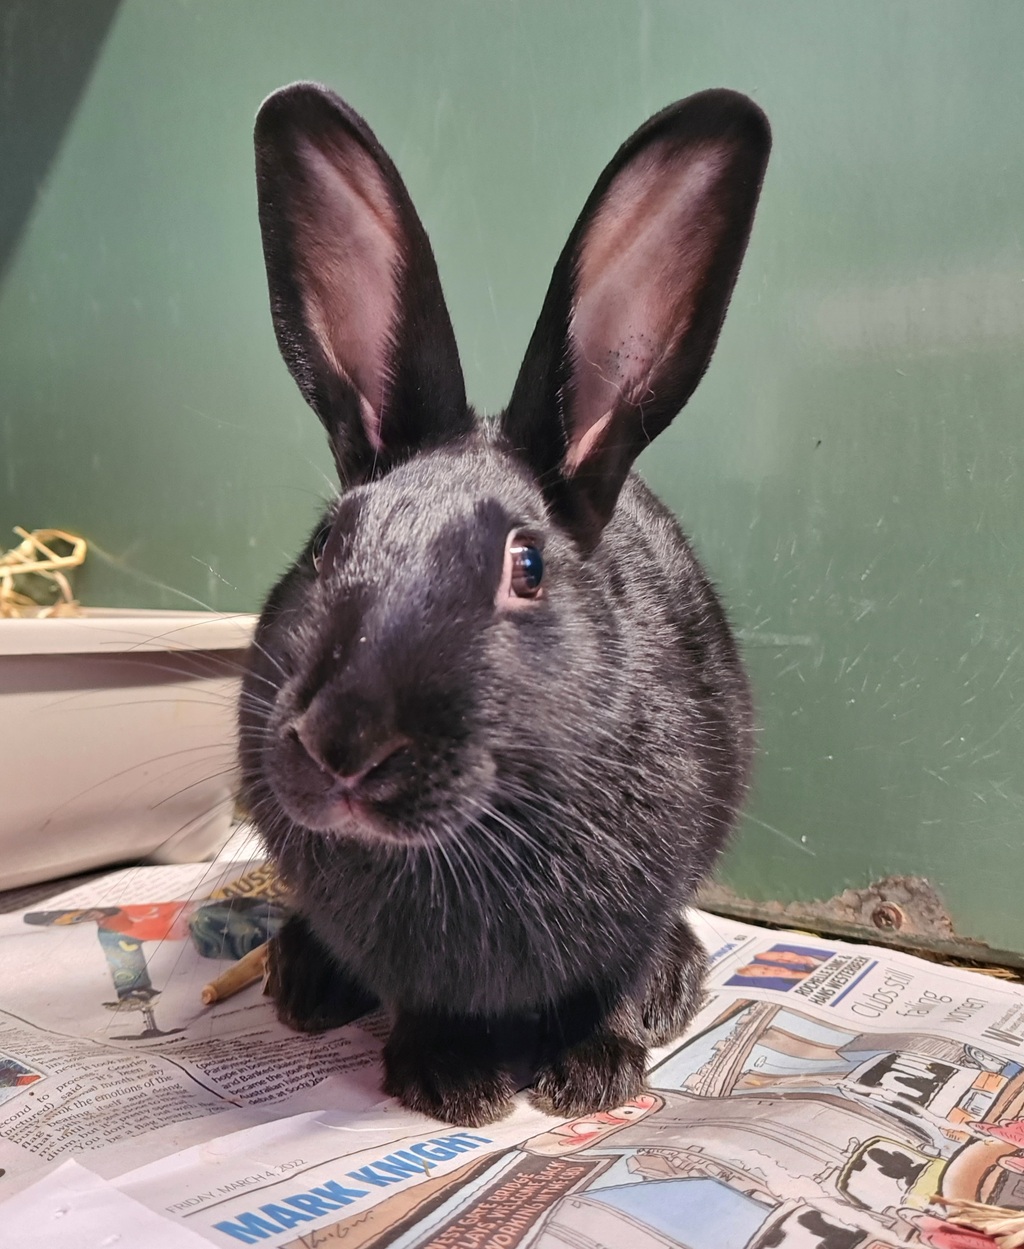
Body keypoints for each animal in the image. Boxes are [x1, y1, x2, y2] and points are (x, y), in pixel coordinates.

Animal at [239, 81, 770, 1127]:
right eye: (327, 544)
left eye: (527, 566)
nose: (340, 745)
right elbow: (427, 999)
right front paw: (451, 1079)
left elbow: (607, 983)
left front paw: (596, 1073)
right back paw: (302, 979)